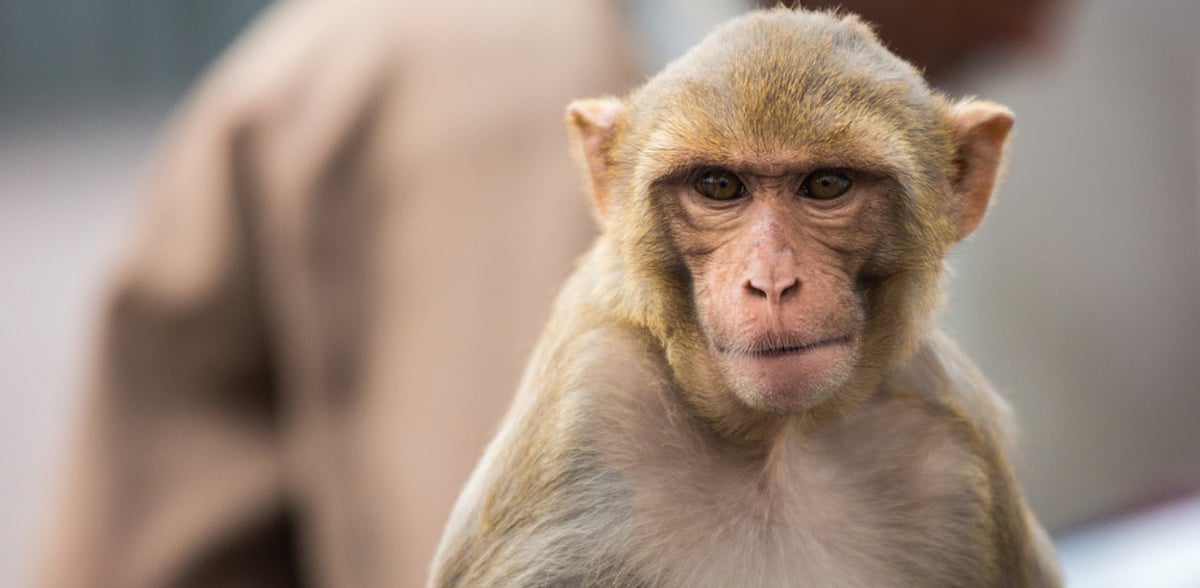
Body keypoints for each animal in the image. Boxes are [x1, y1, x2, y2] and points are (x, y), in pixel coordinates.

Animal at [428, 7, 1060, 587]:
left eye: (826, 184)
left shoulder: (961, 452)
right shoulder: (583, 411)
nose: (772, 281)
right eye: (719, 185)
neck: (777, 446)